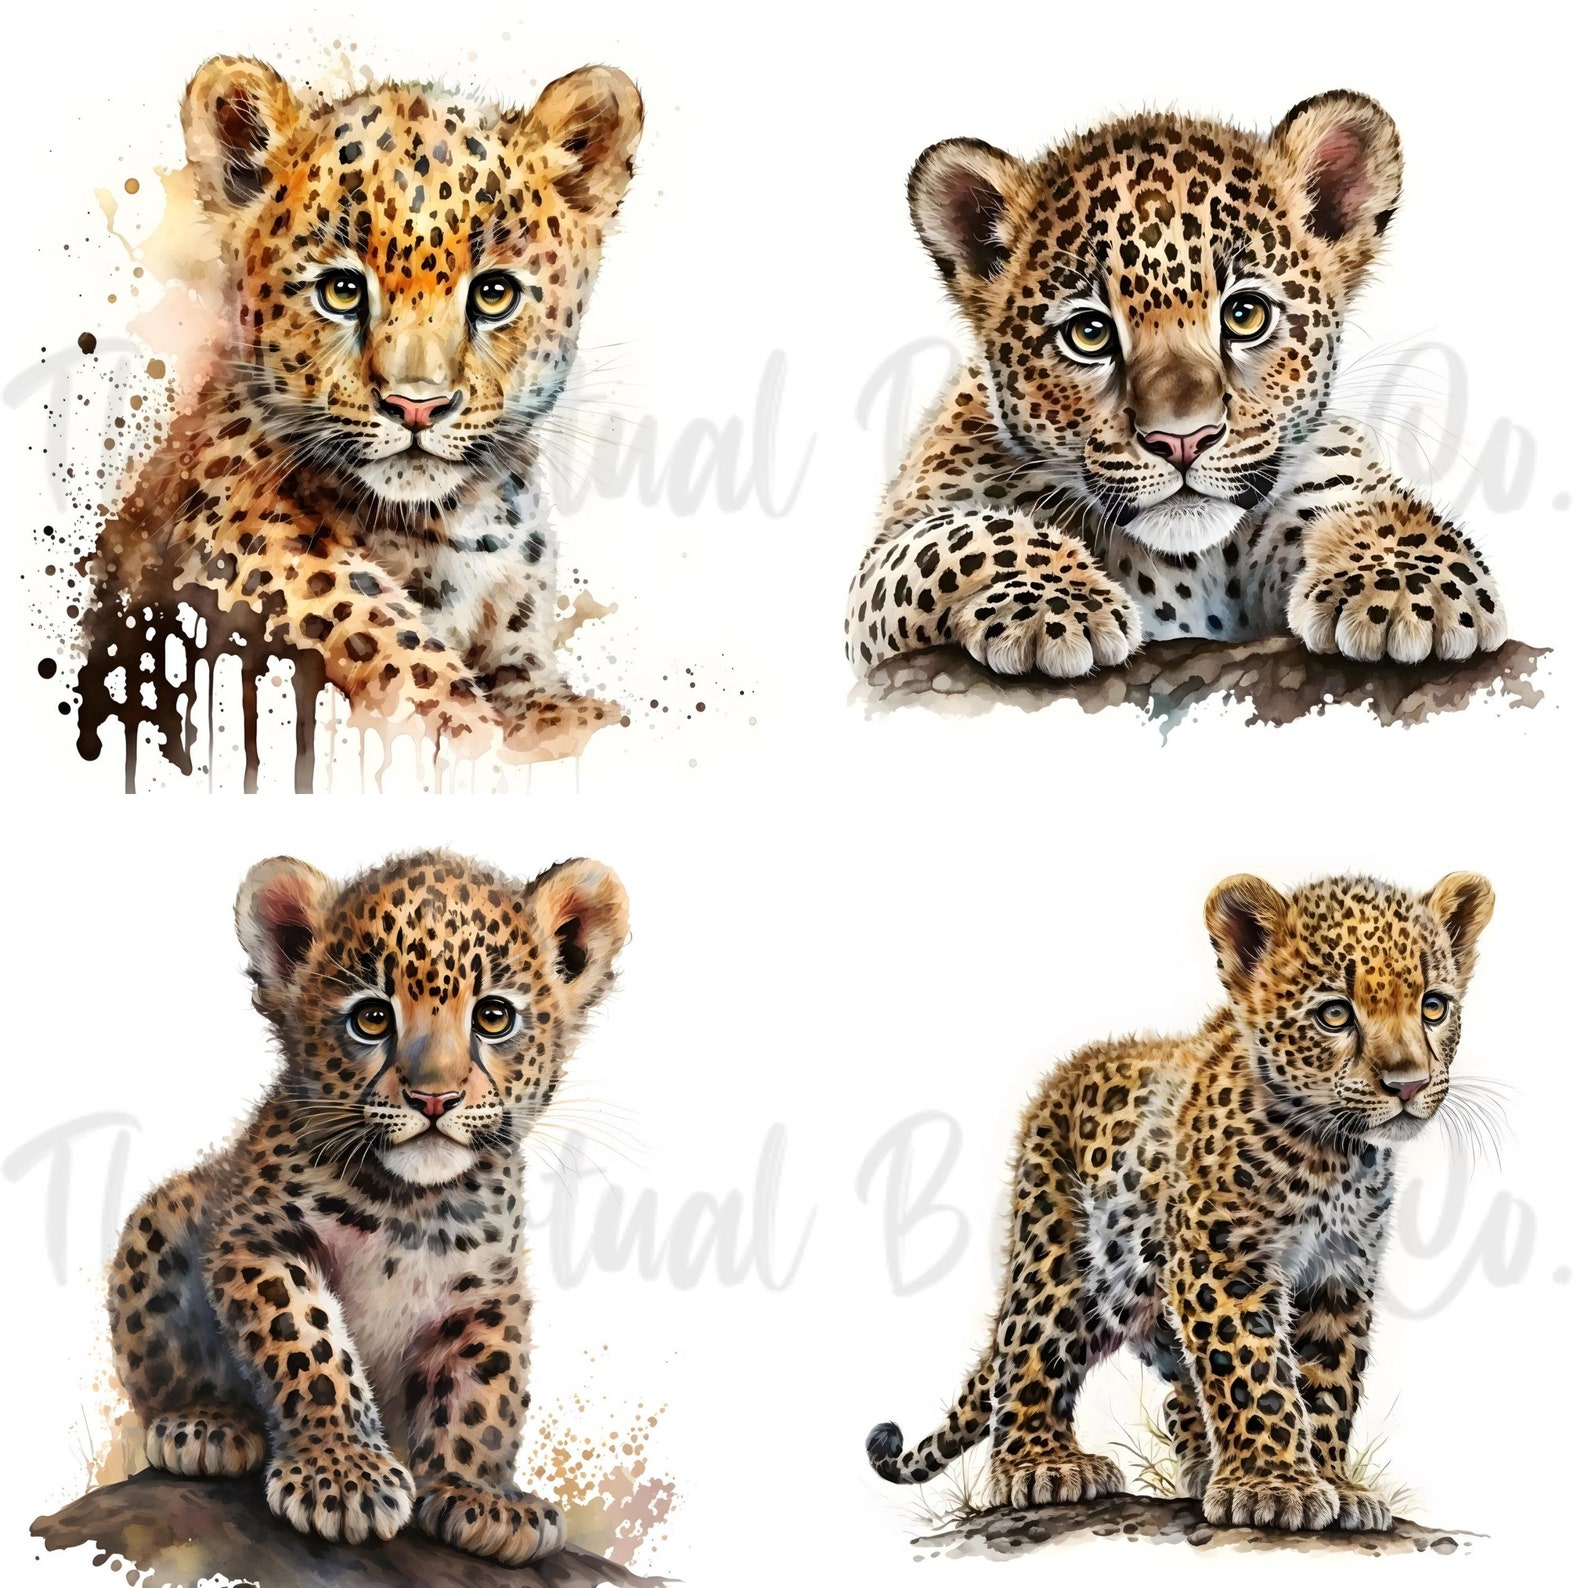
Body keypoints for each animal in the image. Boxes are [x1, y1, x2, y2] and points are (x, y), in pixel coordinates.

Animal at [85, 56, 644, 763]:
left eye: (494, 294)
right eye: (342, 290)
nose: (417, 406)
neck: (455, 527)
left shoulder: (520, 658)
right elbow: (398, 657)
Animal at [106, 849, 630, 1564]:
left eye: (494, 1017)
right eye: (373, 1018)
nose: (434, 1098)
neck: (413, 1204)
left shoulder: (487, 1290)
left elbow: (485, 1390)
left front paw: (481, 1497)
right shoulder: (257, 1239)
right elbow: (307, 1341)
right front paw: (342, 1475)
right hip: (162, 1219)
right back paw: (207, 1426)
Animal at [846, 92, 1509, 685]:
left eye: (1245, 315)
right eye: (1089, 333)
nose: (1182, 441)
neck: (1184, 561)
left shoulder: (1321, 468)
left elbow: (1366, 503)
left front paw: (1411, 590)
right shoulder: (882, 569)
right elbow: (965, 534)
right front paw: (1056, 609)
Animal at [867, 869, 1495, 1532]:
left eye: (1433, 1007)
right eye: (1334, 1014)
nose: (1408, 1084)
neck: (1334, 1154)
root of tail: (1066, 1073)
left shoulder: (1341, 1272)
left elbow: (1329, 1381)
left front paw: (1333, 1483)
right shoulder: (1222, 1262)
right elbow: (1253, 1371)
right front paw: (1275, 1486)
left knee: (1174, 1390)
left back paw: (1197, 1461)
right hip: (1062, 1260)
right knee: (1025, 1357)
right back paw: (1044, 1465)